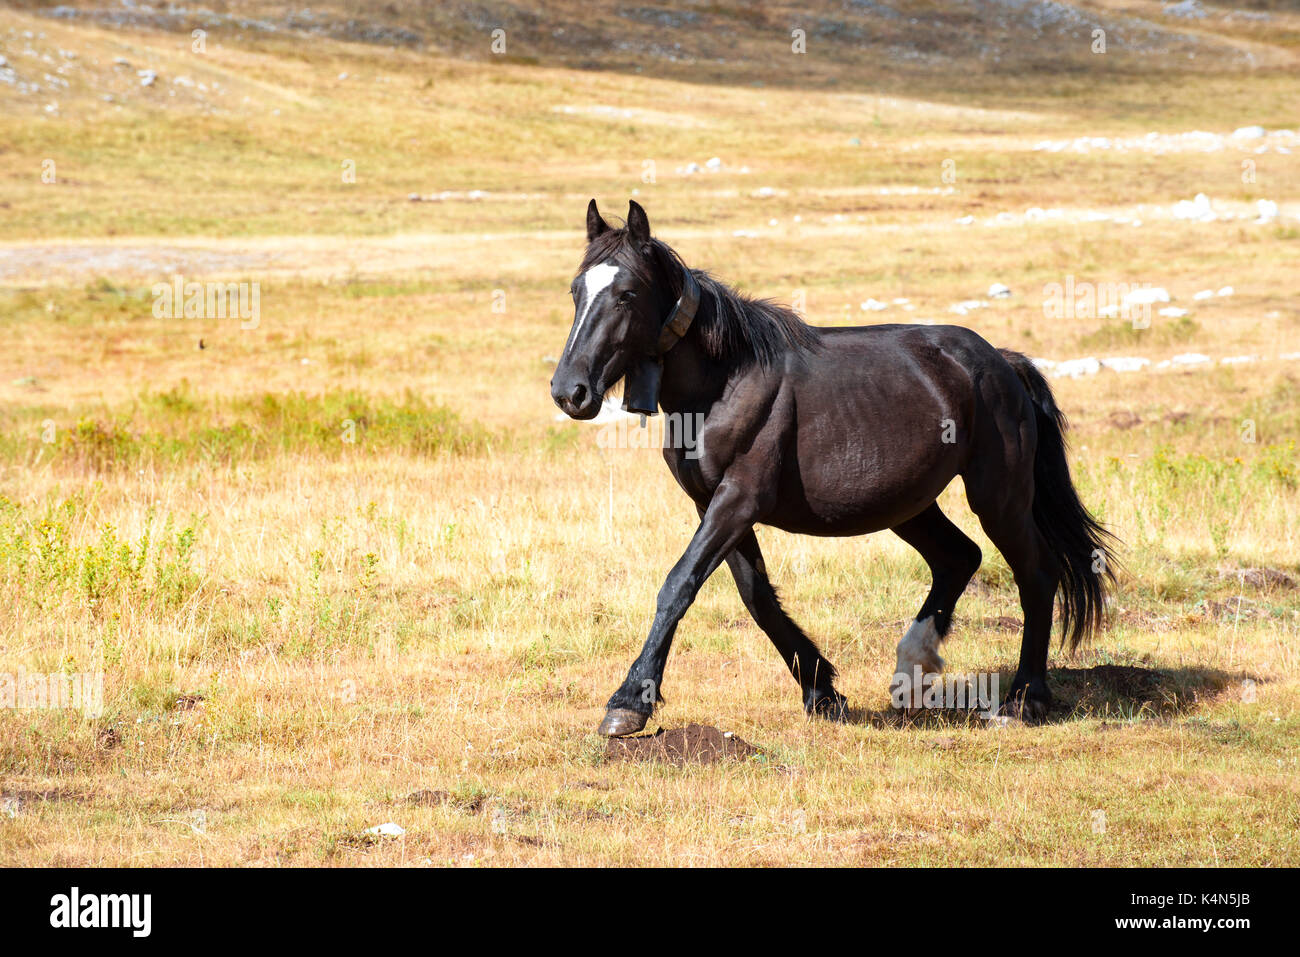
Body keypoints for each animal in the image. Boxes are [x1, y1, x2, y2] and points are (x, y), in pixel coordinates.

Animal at [551, 199, 1117, 736]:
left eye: (626, 294)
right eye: (577, 290)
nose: (569, 391)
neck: (723, 382)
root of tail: (1002, 363)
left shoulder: (738, 499)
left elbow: (678, 584)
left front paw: (629, 703)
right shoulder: (712, 505)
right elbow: (757, 597)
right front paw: (821, 689)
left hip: (998, 498)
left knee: (1035, 573)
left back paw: (1025, 698)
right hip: (907, 505)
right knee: (959, 557)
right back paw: (913, 667)